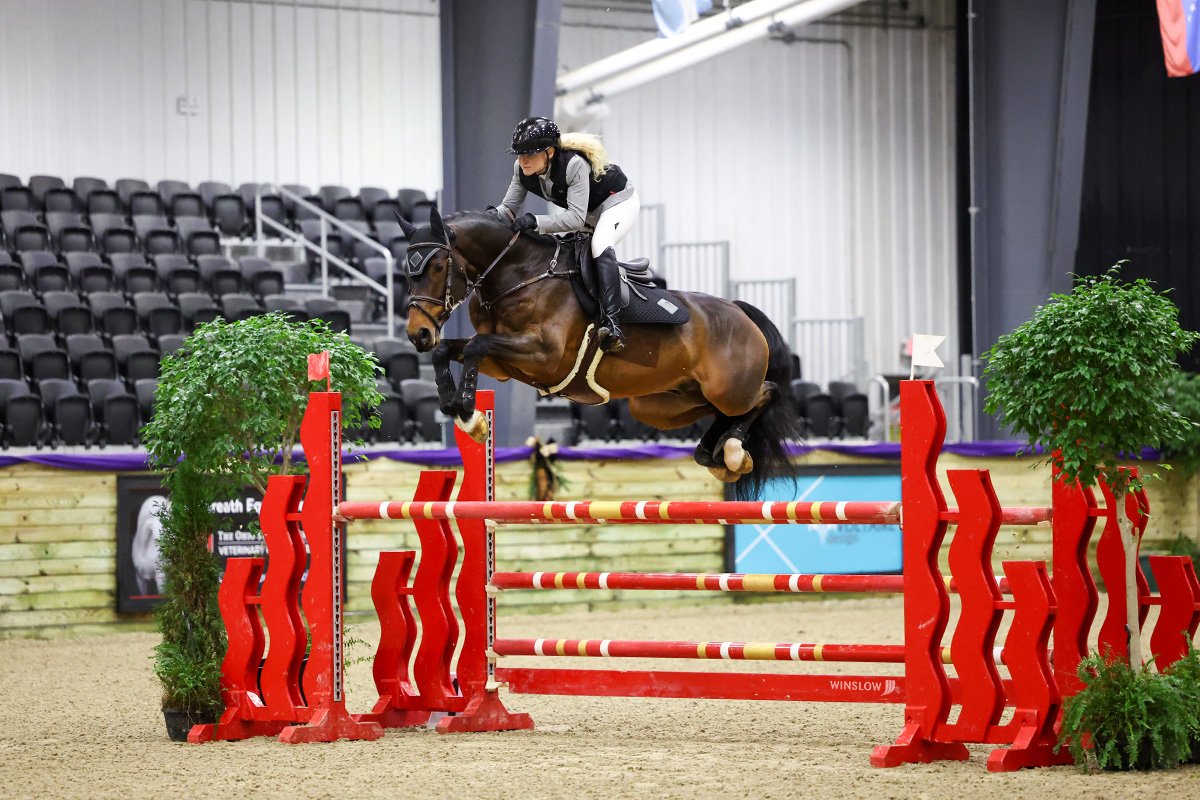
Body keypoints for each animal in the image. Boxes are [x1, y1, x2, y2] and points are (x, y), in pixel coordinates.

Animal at [397, 207, 802, 500]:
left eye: (437, 266)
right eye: (406, 271)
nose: (418, 333)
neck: (519, 275)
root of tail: (740, 310)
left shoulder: (544, 355)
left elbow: (474, 347)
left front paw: (468, 411)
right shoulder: (504, 365)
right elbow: (450, 351)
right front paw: (459, 410)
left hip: (729, 389)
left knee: (765, 394)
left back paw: (732, 450)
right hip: (661, 405)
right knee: (718, 411)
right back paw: (716, 453)